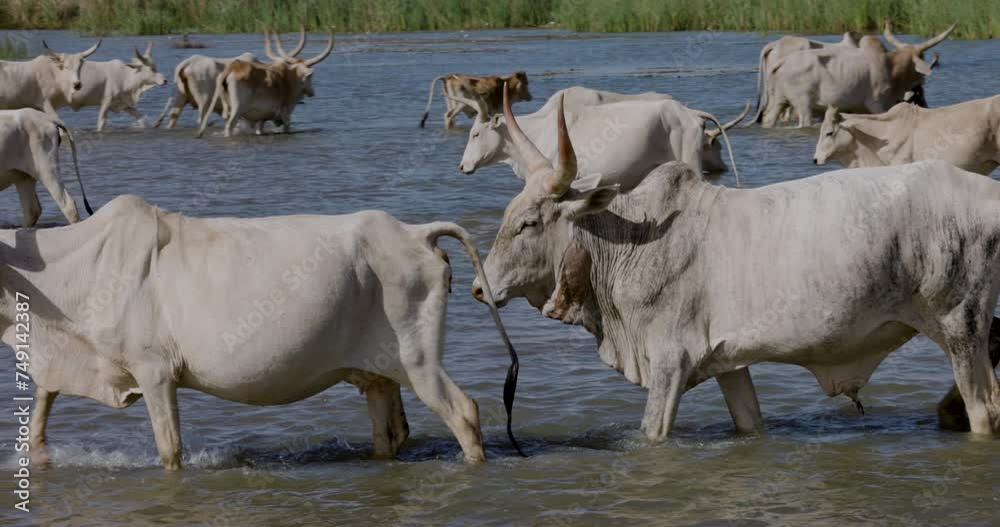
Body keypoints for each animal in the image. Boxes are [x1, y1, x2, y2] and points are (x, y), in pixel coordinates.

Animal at [1, 194, 520, 469]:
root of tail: (415, 233)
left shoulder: (154, 370)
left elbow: (170, 450)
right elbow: (40, 412)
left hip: (418, 359)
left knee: (464, 413)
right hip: (379, 371)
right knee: (390, 432)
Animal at [196, 31, 334, 137]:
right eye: (310, 76)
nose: (312, 92)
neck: (289, 79)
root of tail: (233, 68)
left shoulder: (261, 119)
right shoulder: (286, 116)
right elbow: (287, 128)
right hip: (237, 110)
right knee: (229, 126)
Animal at [760, 23, 955, 128]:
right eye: (921, 57)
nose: (922, 81)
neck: (892, 66)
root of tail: (782, 61)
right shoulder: (877, 103)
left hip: (779, 100)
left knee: (768, 119)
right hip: (803, 104)